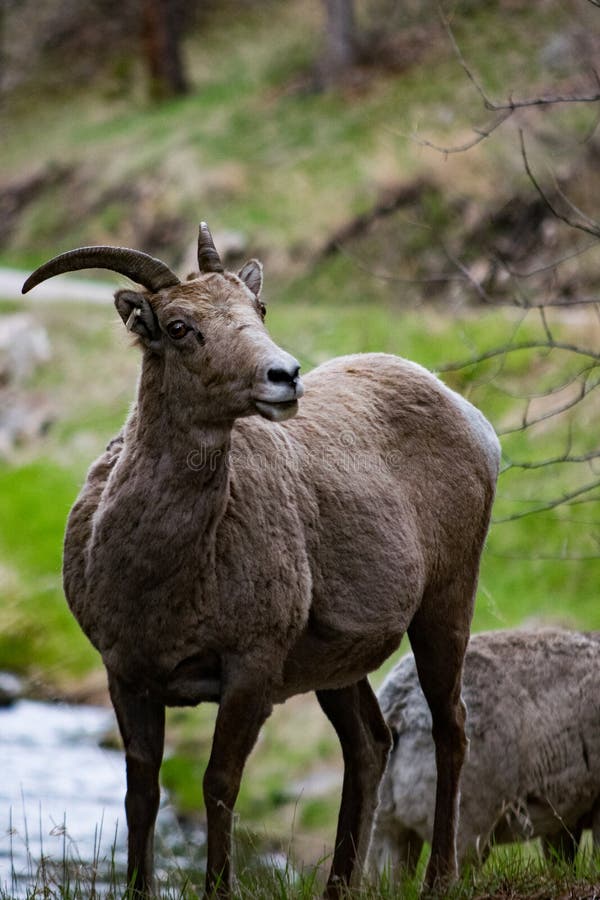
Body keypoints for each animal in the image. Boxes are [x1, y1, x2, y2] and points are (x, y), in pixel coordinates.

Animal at [22, 223, 500, 897]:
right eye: (178, 326)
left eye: (259, 309)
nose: (285, 376)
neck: (163, 583)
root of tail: (473, 419)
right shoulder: (126, 674)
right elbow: (141, 797)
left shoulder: (250, 671)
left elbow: (219, 787)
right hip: (338, 667)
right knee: (369, 745)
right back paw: (338, 886)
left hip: (445, 606)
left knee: (450, 727)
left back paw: (439, 879)